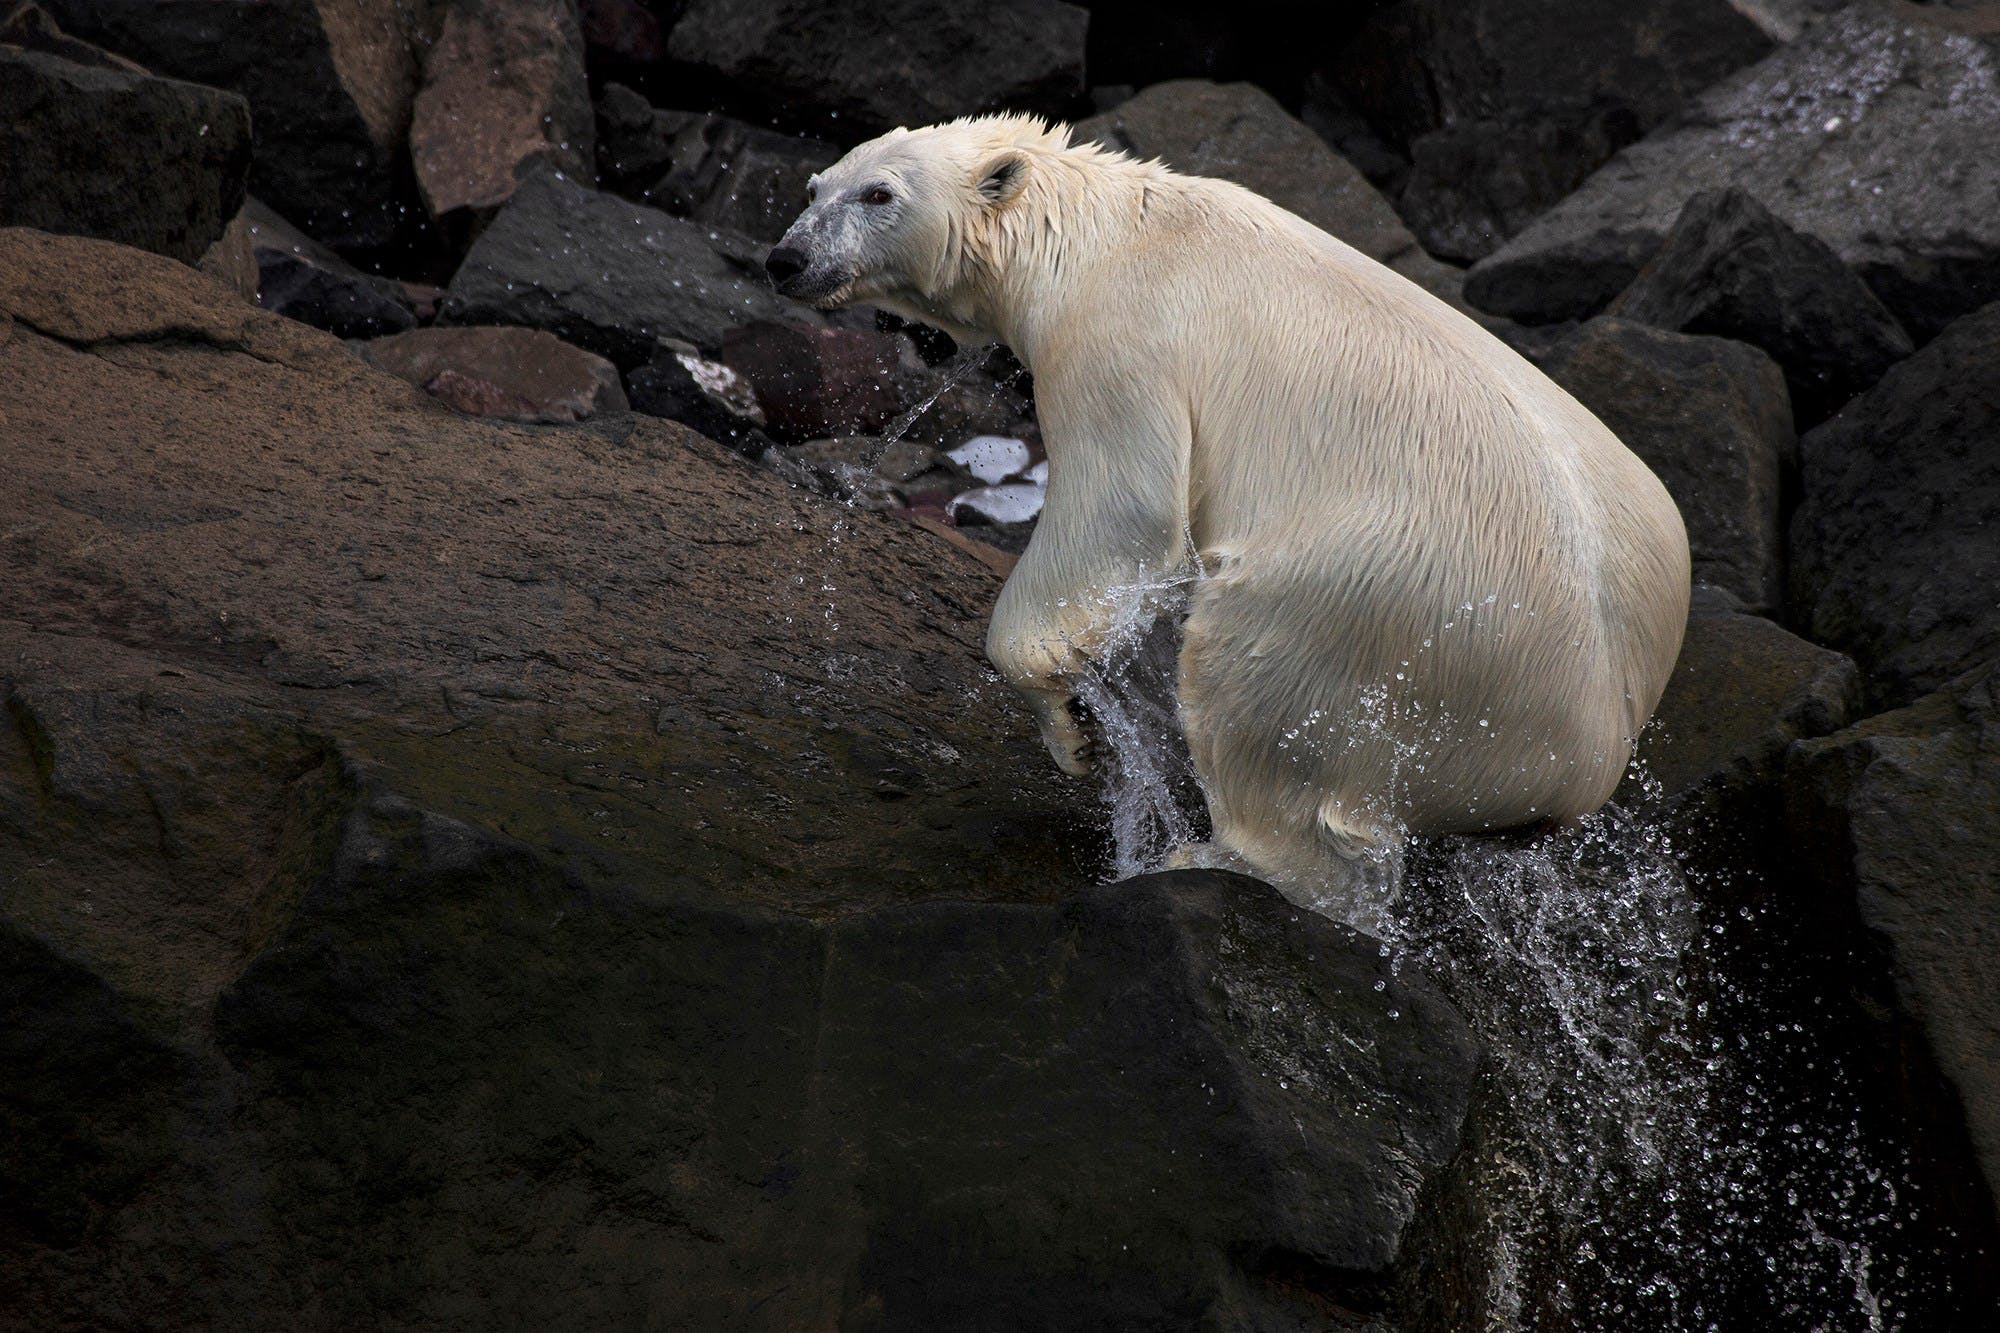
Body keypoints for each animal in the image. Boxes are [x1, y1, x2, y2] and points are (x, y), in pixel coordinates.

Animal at [766, 114, 1689, 902]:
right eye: (814, 186)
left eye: (878, 193)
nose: (785, 259)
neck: (1102, 236)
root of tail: (1597, 746)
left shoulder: (1120, 344)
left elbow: (1124, 513)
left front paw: (1069, 726)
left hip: (1403, 609)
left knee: (1261, 683)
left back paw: (1211, 855)